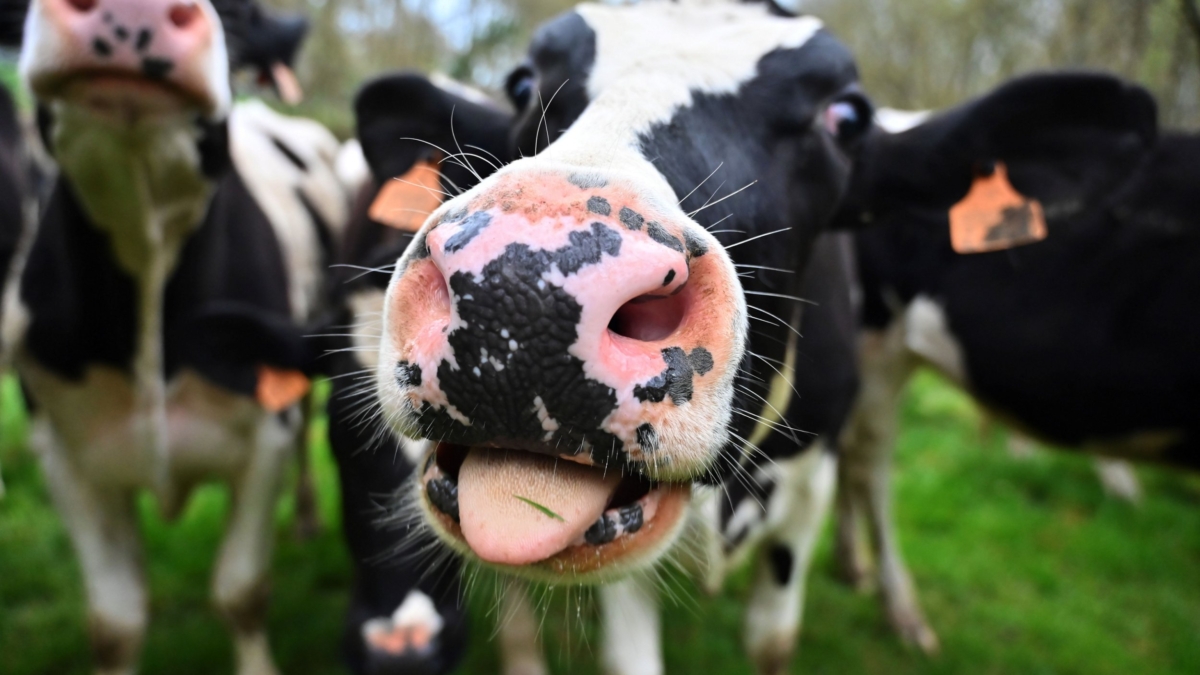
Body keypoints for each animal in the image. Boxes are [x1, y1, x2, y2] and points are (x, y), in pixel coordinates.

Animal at [8, 1, 347, 673]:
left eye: (240, 14)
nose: (129, 12)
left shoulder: (263, 438)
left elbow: (240, 592)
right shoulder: (64, 454)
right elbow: (115, 623)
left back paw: (305, 518)